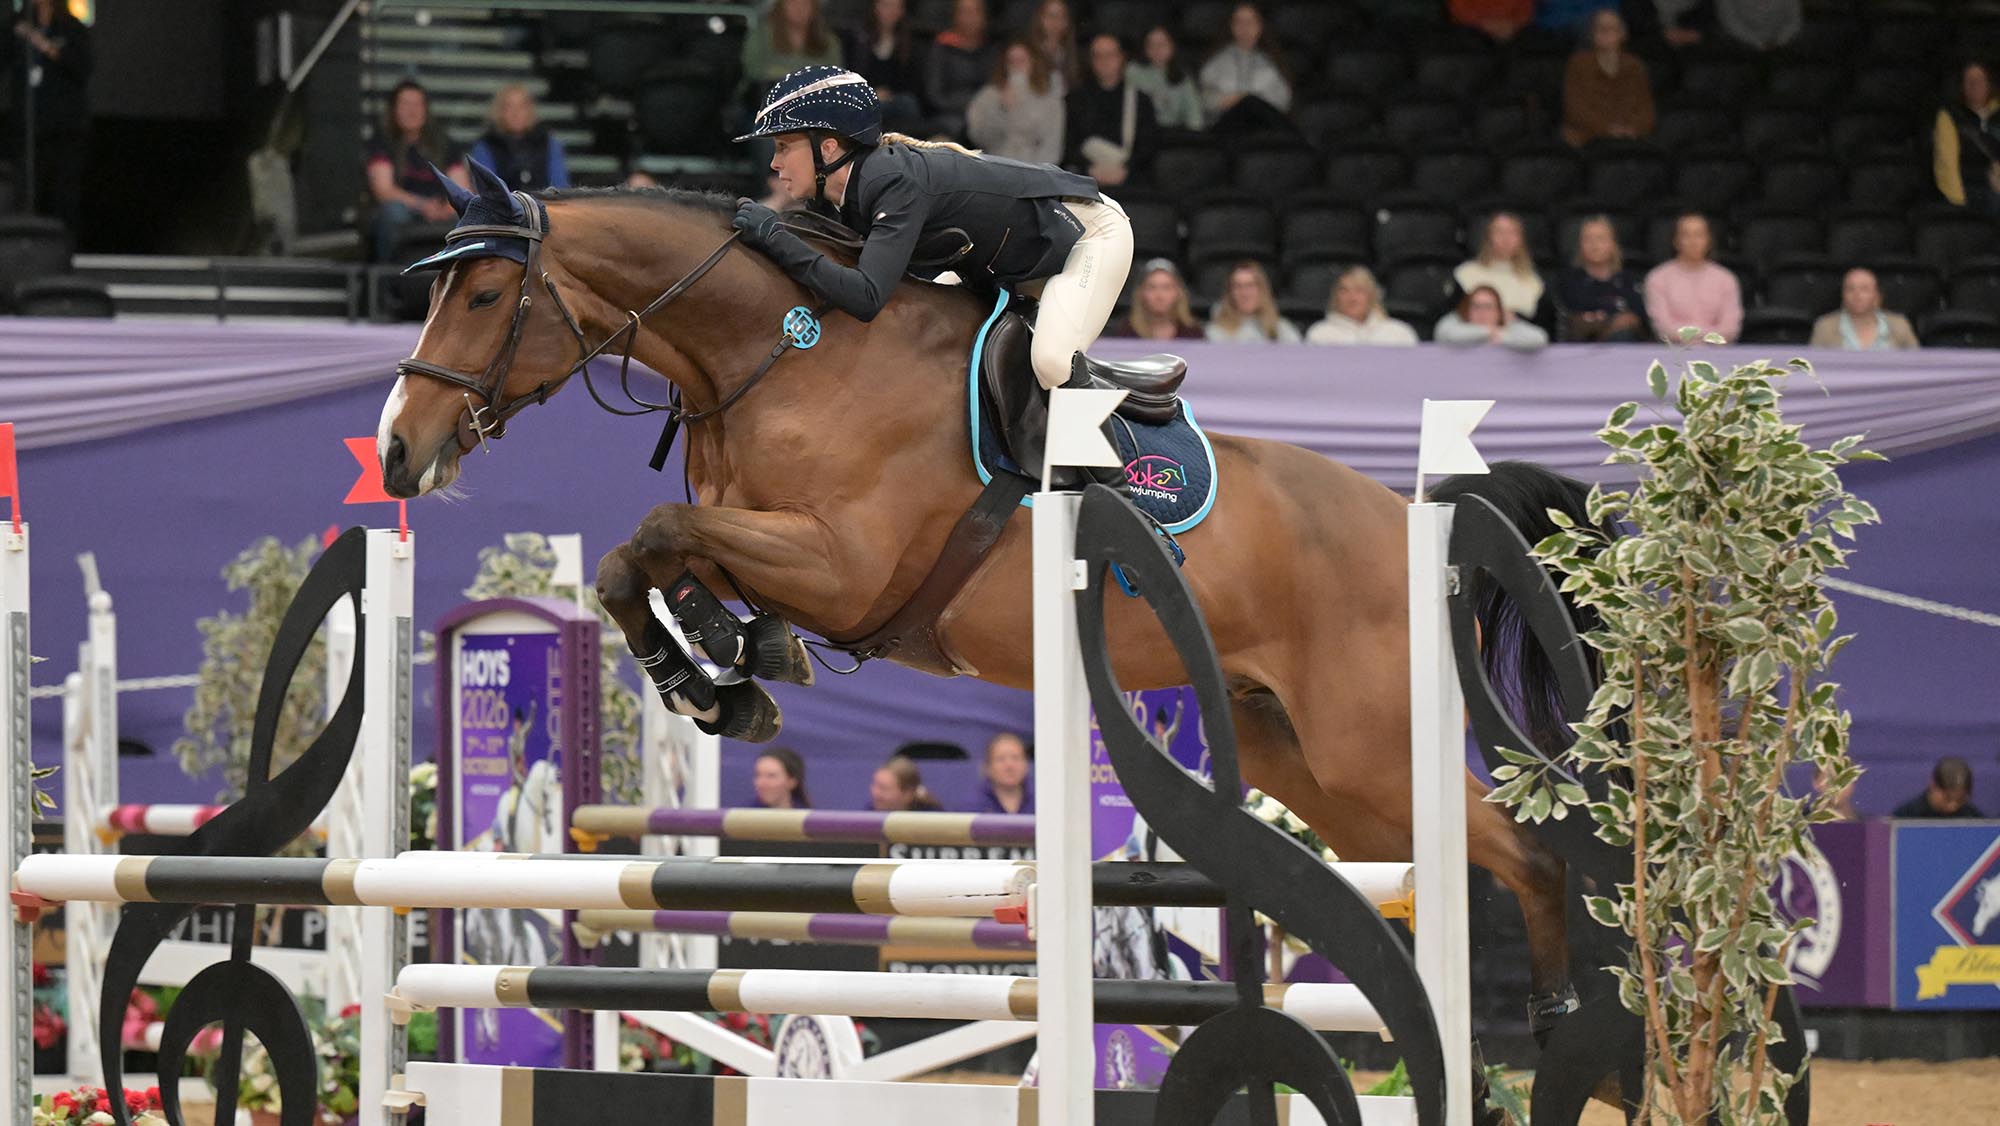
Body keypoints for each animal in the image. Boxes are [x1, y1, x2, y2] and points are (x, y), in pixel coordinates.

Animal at [375, 174, 1598, 1034]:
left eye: (482, 294)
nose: (395, 451)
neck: (781, 356)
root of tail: (1406, 518)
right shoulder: (768, 544)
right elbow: (642, 562)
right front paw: (725, 670)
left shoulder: (843, 563)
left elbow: (664, 539)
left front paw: (726, 667)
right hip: (1310, 763)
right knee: (1427, 867)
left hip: (1366, 741)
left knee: (1522, 855)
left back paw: (1554, 1015)